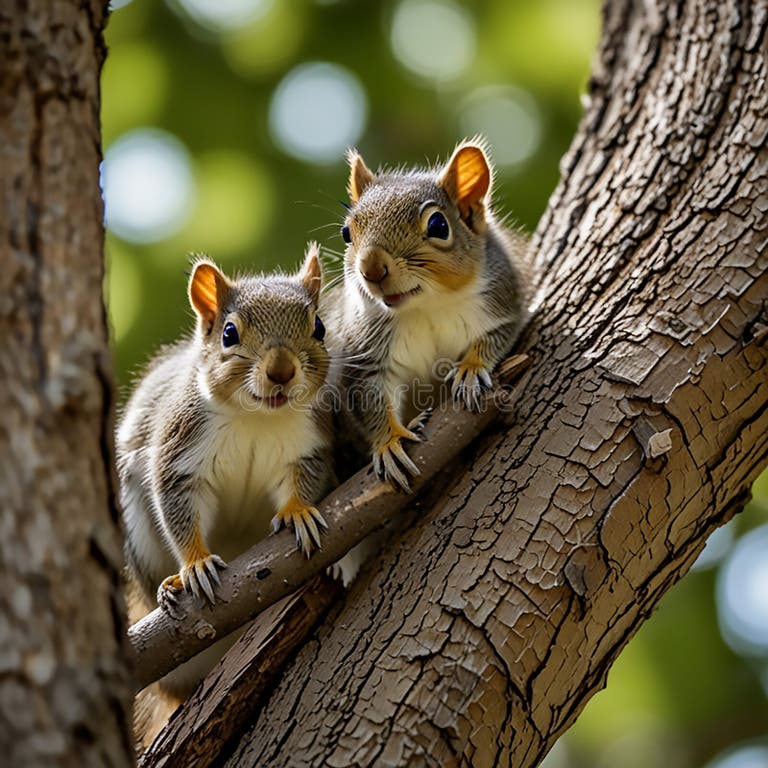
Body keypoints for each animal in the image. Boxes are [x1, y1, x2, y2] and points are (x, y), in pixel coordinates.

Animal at [117, 243, 334, 746]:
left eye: (318, 327)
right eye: (229, 333)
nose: (281, 371)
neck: (256, 417)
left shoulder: (308, 445)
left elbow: (303, 482)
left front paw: (298, 513)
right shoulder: (179, 453)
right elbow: (179, 511)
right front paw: (195, 565)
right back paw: (168, 588)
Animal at [323, 139, 530, 493]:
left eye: (438, 226)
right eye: (346, 233)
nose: (371, 269)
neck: (425, 306)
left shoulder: (502, 304)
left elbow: (495, 337)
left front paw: (471, 369)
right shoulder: (363, 351)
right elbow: (368, 397)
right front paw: (390, 441)